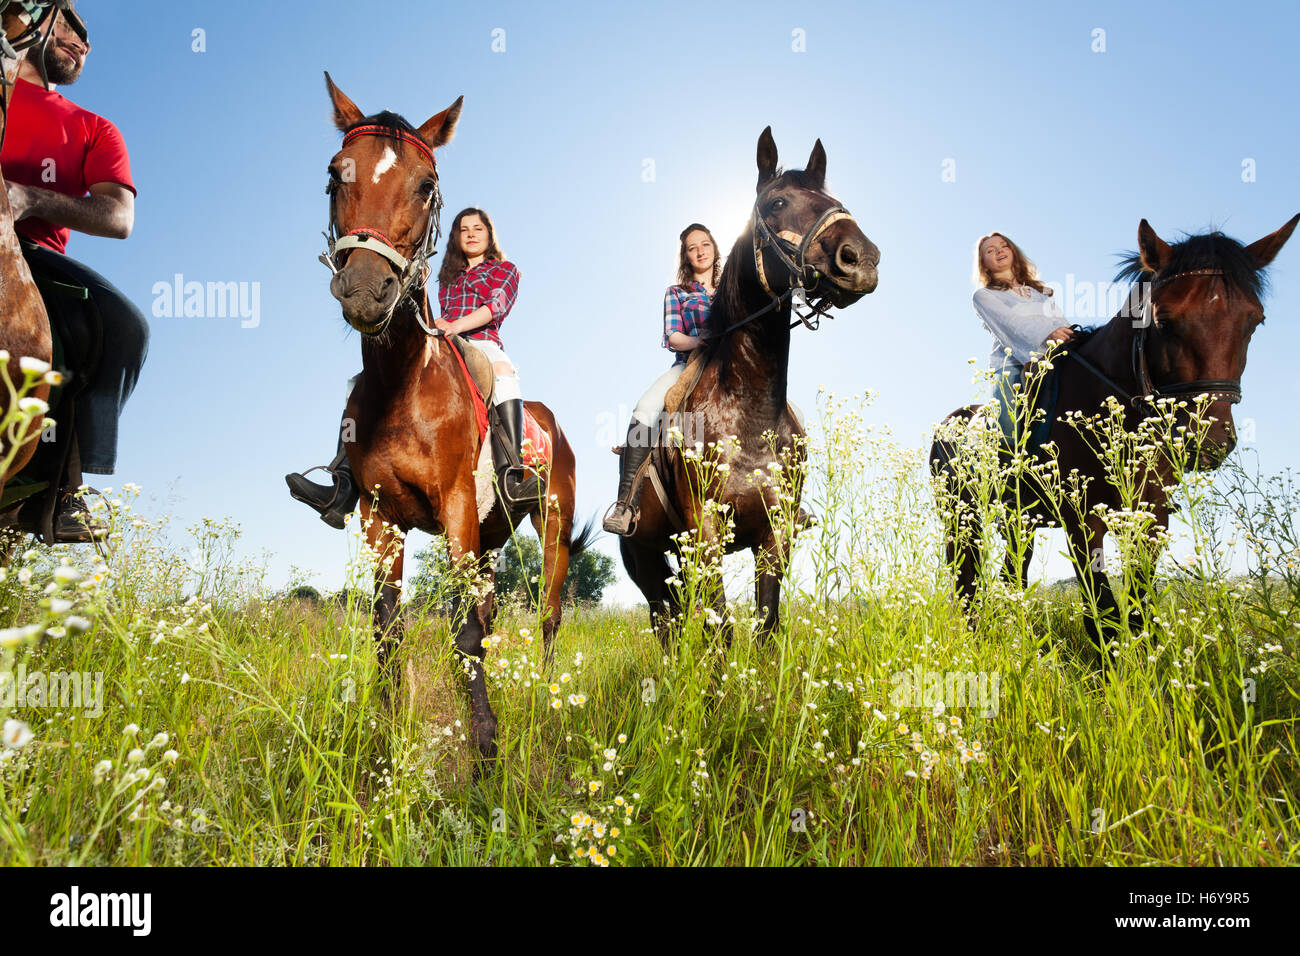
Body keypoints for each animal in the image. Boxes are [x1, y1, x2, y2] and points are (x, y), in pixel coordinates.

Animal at [317, 74, 594, 765]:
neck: (403, 386)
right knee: (493, 612)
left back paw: (545, 699)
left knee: (547, 614)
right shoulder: (381, 519)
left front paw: (486, 747)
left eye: (424, 184)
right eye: (336, 175)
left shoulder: (457, 510)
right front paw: (388, 740)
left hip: (550, 527)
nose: (365, 290)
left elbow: (466, 631)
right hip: (492, 539)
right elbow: (390, 628)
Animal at [619, 127, 879, 647]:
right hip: (645, 561)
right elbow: (721, 633)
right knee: (664, 624)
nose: (861, 260)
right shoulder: (705, 533)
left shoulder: (774, 537)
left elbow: (766, 629)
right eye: (777, 202)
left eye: (835, 201)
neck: (748, 413)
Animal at [931, 216, 1298, 662]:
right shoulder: (1082, 522)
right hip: (960, 519)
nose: (1208, 440)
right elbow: (1101, 615)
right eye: (1164, 321)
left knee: (1010, 577)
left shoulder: (1152, 517)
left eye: (1254, 321)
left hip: (1021, 522)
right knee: (966, 584)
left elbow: (1141, 604)